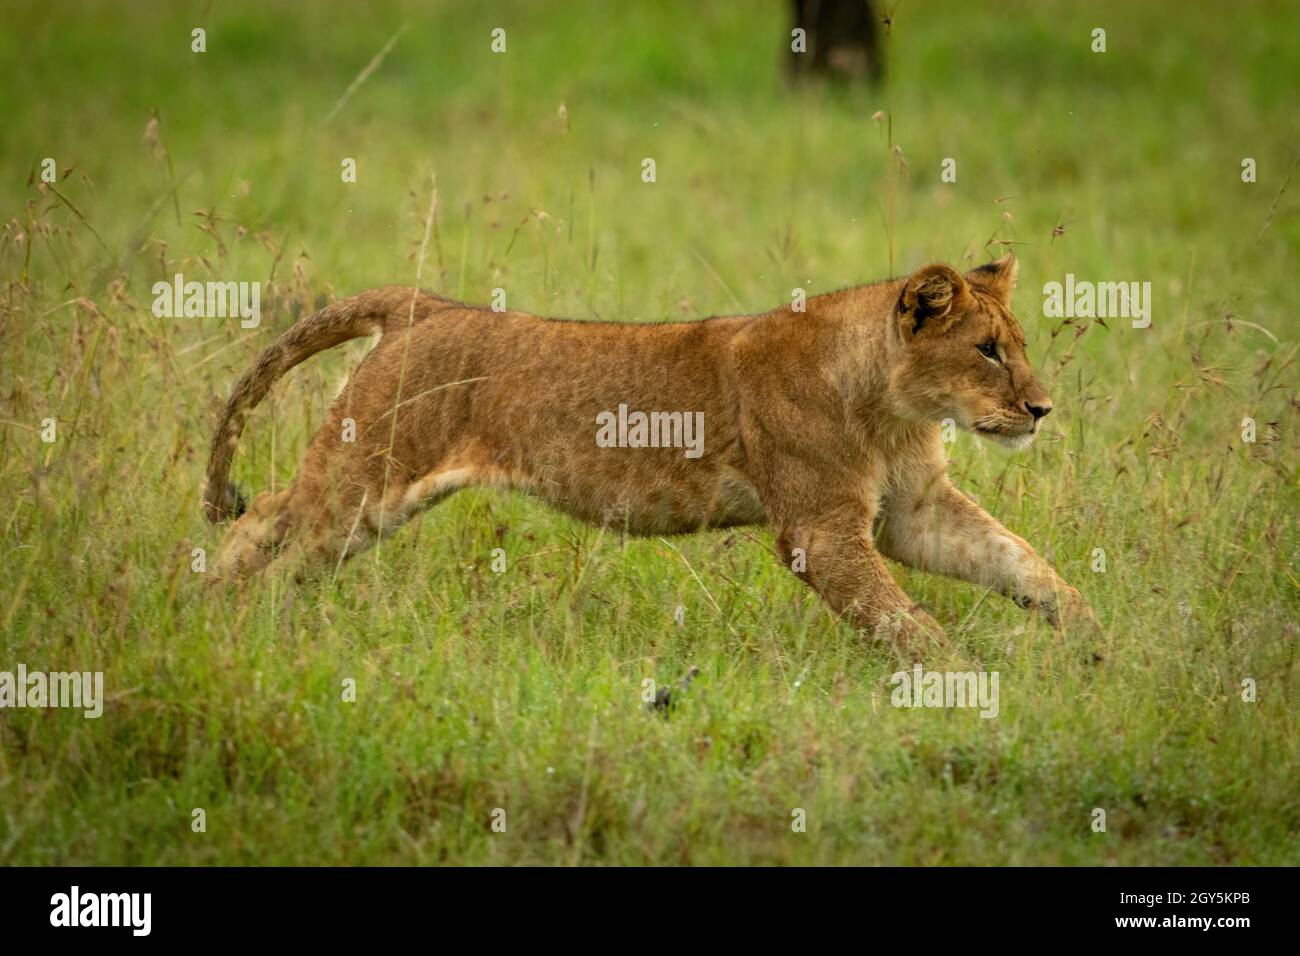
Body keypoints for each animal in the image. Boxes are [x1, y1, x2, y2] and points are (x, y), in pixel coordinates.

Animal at [204, 253, 1096, 647]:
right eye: (987, 350)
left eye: (1016, 345)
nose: (1042, 409)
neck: (896, 408)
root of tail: (424, 304)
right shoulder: (821, 531)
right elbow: (905, 621)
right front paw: (962, 684)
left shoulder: (910, 513)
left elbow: (1018, 561)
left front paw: (1093, 639)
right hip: (367, 483)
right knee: (277, 518)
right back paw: (235, 620)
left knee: (272, 515)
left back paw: (200, 605)